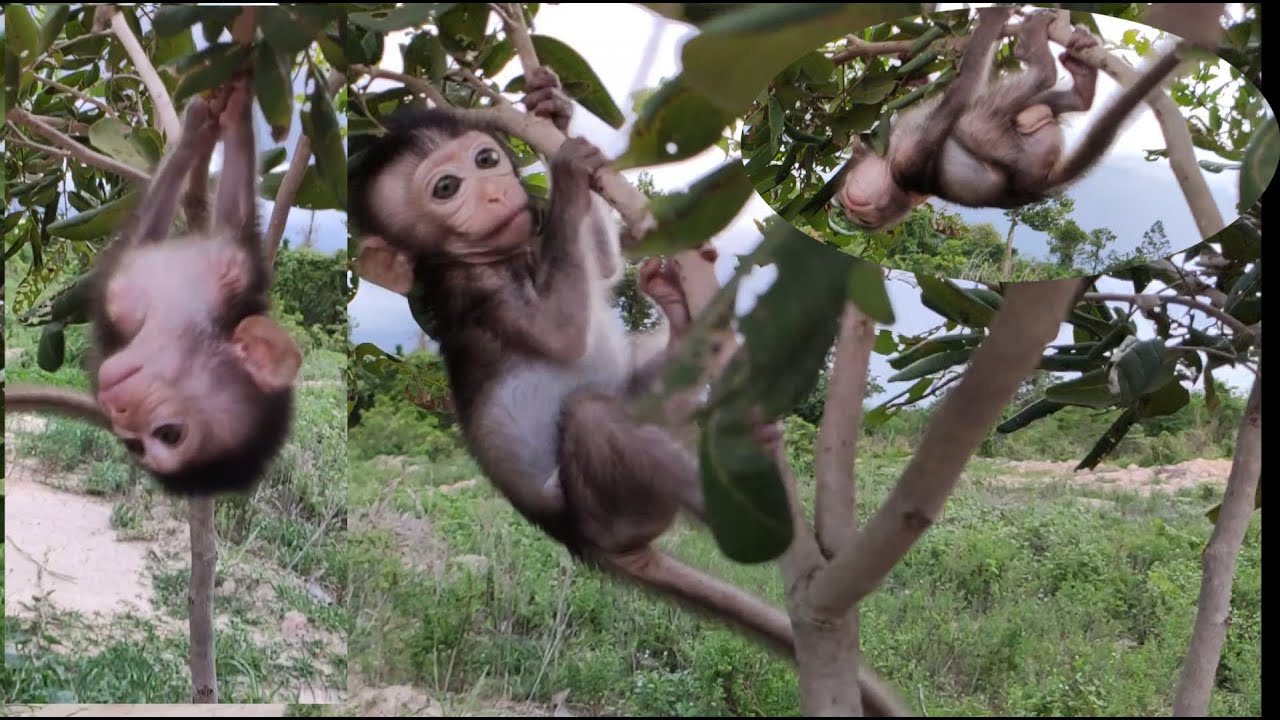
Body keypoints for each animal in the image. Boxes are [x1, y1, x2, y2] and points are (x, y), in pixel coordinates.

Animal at [6, 76, 303, 497]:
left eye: (162, 437)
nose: (118, 412)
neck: (176, 314)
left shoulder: (138, 292)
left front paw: (205, 129)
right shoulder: (228, 269)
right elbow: (233, 210)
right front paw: (224, 114)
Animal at [834, 6, 1190, 230]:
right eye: (858, 215)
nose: (848, 208)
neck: (892, 166)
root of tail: (1036, 186)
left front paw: (911, 67)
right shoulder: (910, 161)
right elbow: (961, 94)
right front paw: (993, 17)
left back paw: (1082, 83)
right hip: (1015, 148)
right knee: (980, 114)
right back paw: (1046, 65)